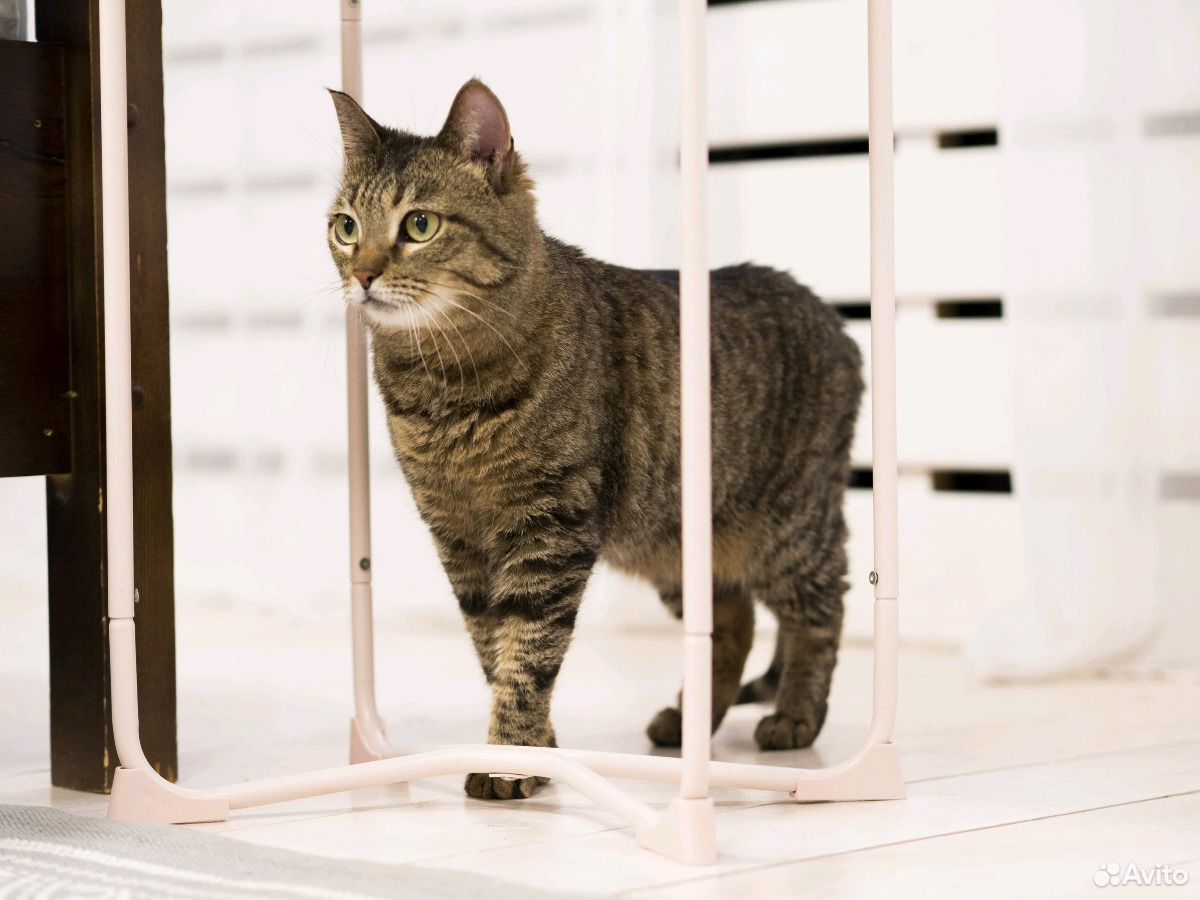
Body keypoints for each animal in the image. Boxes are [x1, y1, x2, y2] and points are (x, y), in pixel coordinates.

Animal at [327, 80, 863, 800]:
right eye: (346, 227)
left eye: (419, 225)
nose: (362, 275)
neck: (442, 388)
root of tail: (830, 313)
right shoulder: (458, 538)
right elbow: (492, 648)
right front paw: (540, 750)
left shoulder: (549, 531)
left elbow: (527, 654)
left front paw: (509, 758)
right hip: (676, 546)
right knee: (734, 621)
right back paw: (689, 719)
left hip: (788, 527)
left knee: (821, 608)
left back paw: (797, 715)